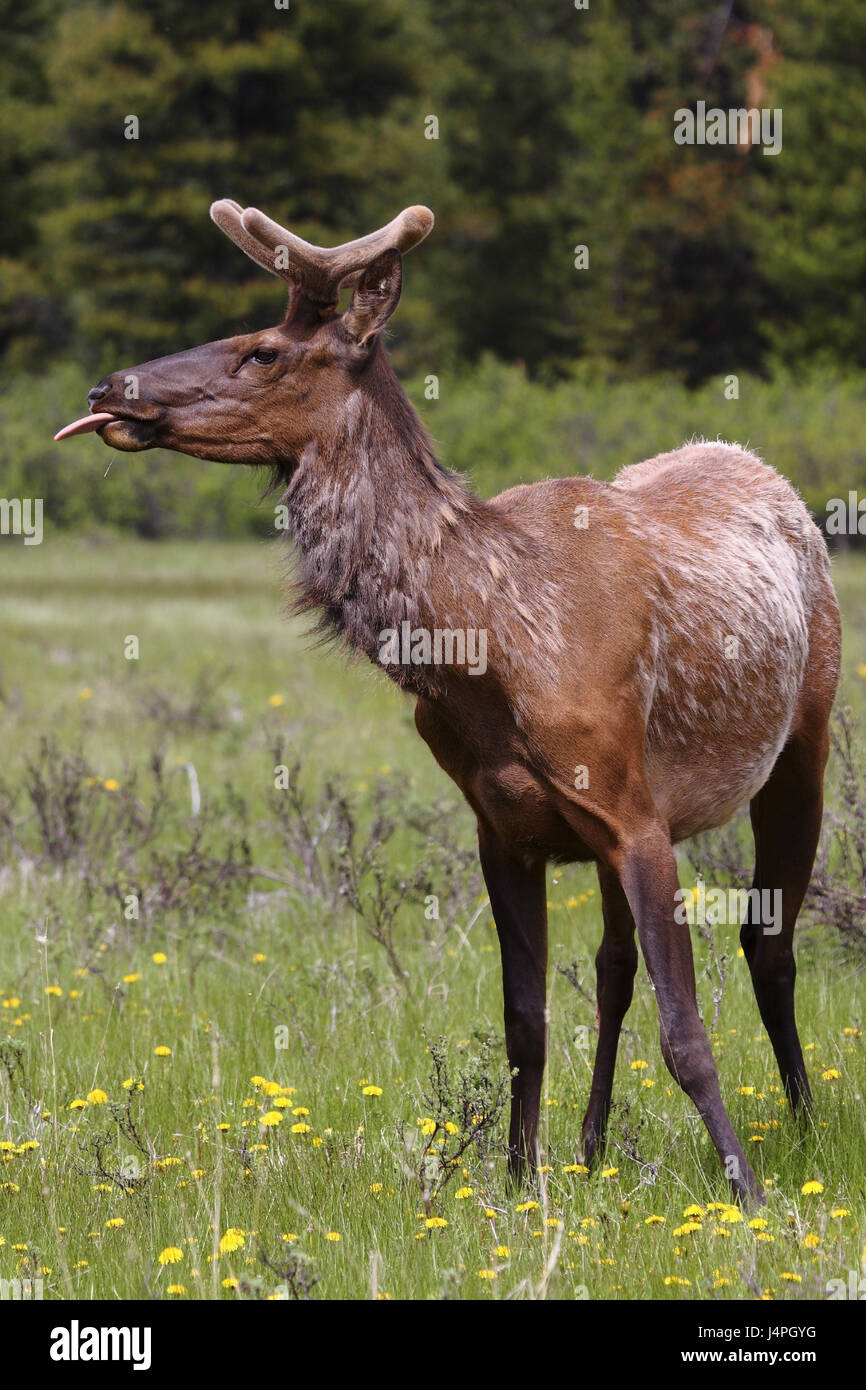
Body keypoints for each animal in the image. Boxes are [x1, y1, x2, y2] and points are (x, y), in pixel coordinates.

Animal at [55, 200, 841, 1205]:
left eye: (261, 349)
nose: (108, 386)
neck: (483, 648)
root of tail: (762, 468)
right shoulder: (511, 823)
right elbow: (525, 1019)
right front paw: (517, 1177)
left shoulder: (636, 813)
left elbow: (687, 1032)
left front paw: (745, 1188)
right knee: (615, 965)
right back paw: (593, 1144)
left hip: (803, 739)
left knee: (768, 947)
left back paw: (804, 1127)